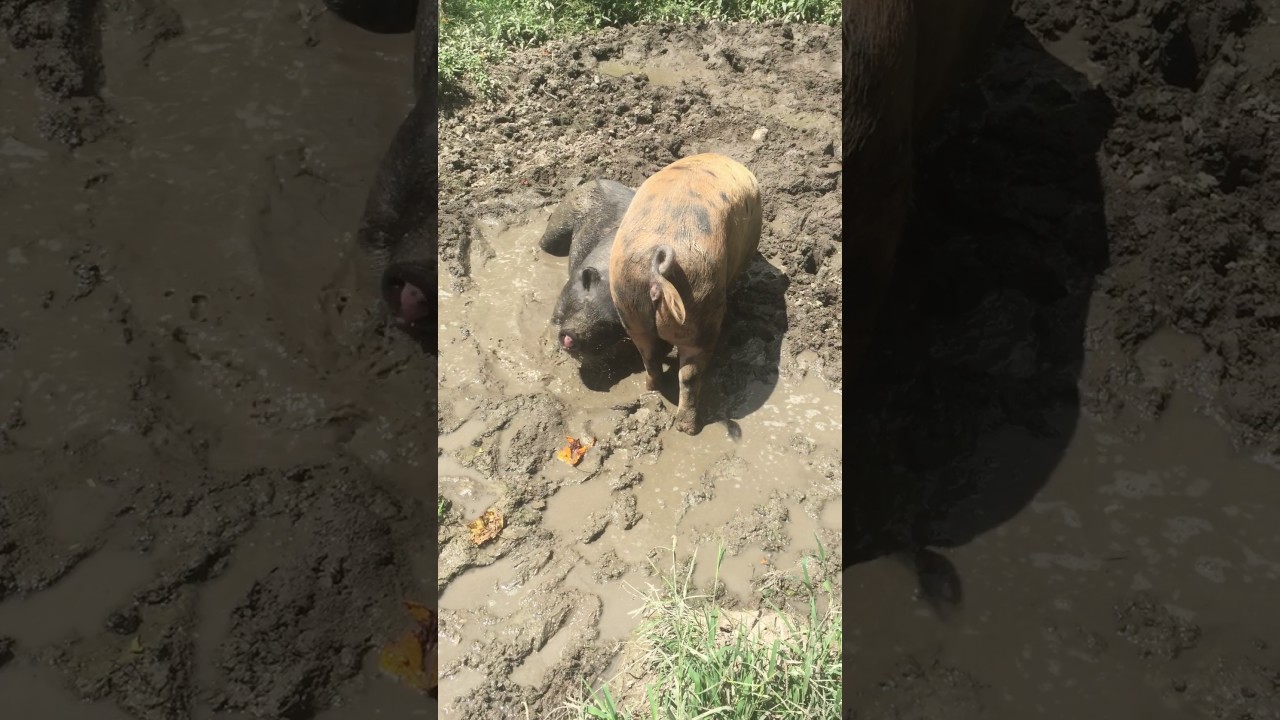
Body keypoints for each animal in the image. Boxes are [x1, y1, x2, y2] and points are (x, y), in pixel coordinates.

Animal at [539, 179, 636, 361]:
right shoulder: (571, 284)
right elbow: (556, 314)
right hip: (563, 216)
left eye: (606, 324)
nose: (571, 336)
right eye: (582, 303)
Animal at [608, 153, 762, 435]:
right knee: (689, 374)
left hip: (628, 302)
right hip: (700, 300)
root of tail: (657, 263)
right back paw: (688, 428)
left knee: (648, 355)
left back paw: (653, 390)